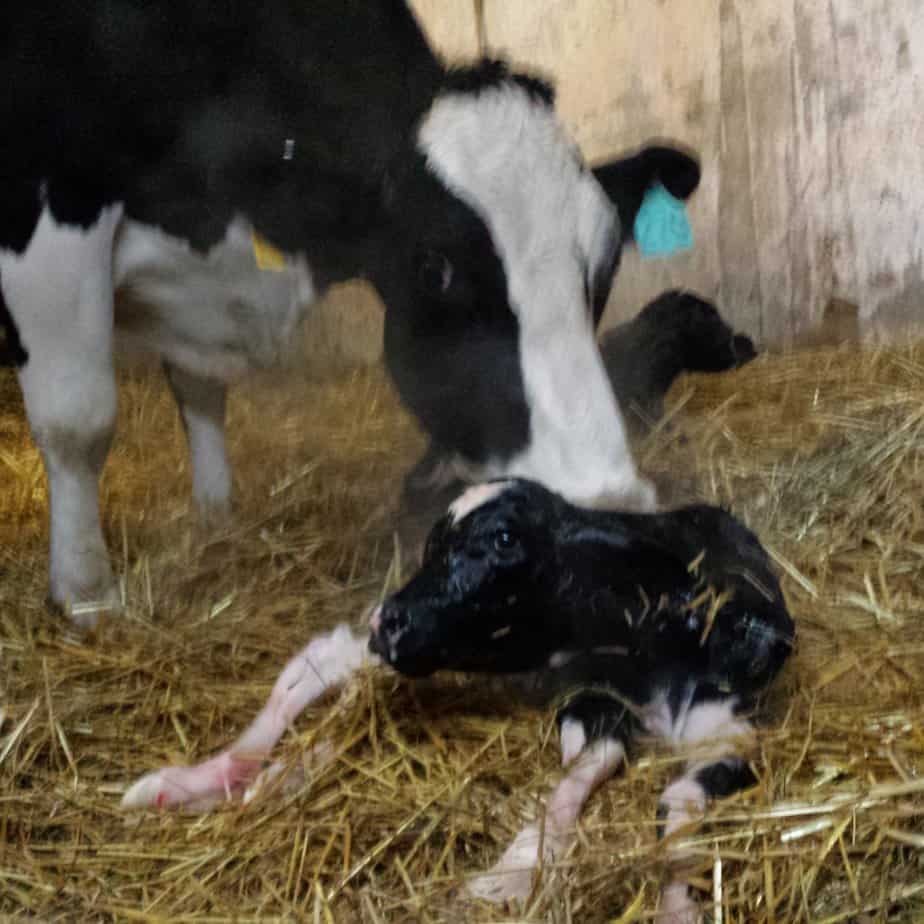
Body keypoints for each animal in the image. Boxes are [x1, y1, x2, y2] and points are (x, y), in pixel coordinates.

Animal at [1, 1, 700, 626]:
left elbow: (199, 388)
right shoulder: (48, 226)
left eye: (605, 268)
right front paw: (87, 596)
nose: (608, 501)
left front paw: (216, 515)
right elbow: (78, 421)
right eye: (434, 268)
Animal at [122, 478, 795, 921]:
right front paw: (513, 872)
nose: (387, 617)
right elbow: (581, 773)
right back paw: (204, 779)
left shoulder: (734, 725)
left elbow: (674, 796)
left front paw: (675, 904)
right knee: (323, 660)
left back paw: (267, 777)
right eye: (432, 546)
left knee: (332, 667)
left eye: (504, 540)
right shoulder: (590, 695)